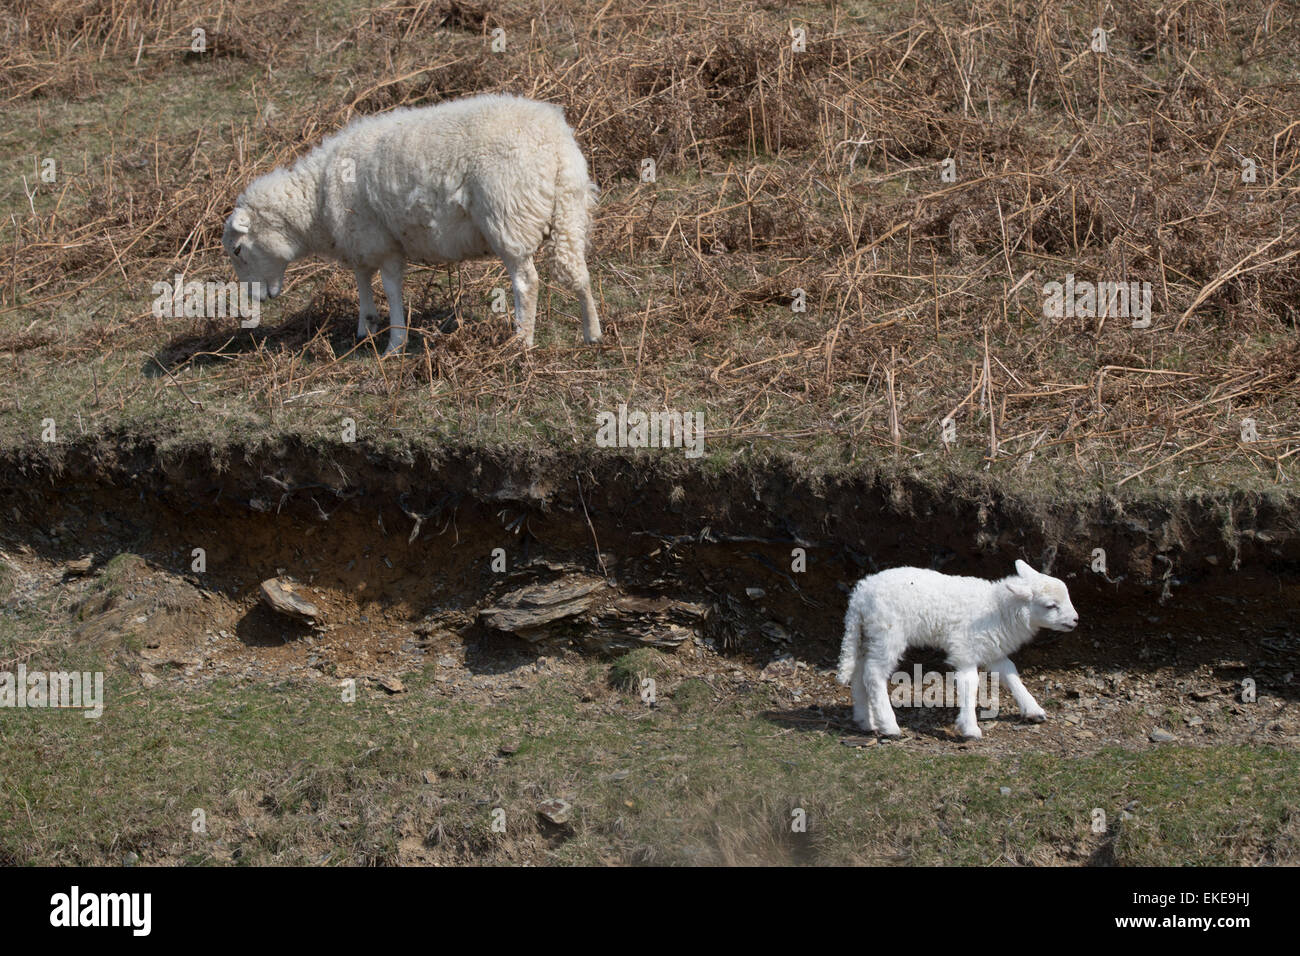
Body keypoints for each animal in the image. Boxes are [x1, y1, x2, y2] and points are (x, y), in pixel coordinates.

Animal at [221, 94, 602, 356]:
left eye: (238, 250)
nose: (256, 298)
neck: (315, 199)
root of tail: (554, 144)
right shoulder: (361, 239)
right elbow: (361, 279)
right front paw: (365, 326)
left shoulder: (381, 239)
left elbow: (390, 287)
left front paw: (395, 341)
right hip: (571, 209)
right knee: (578, 271)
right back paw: (592, 332)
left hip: (509, 215)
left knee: (527, 282)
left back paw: (521, 341)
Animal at [836, 560, 1078, 739]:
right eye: (1050, 606)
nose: (1075, 620)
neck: (999, 608)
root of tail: (860, 595)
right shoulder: (965, 649)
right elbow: (970, 683)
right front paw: (970, 728)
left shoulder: (992, 648)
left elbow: (1010, 673)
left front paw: (1033, 710)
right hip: (888, 632)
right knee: (874, 673)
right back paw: (889, 725)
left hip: (868, 632)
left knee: (859, 672)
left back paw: (866, 721)